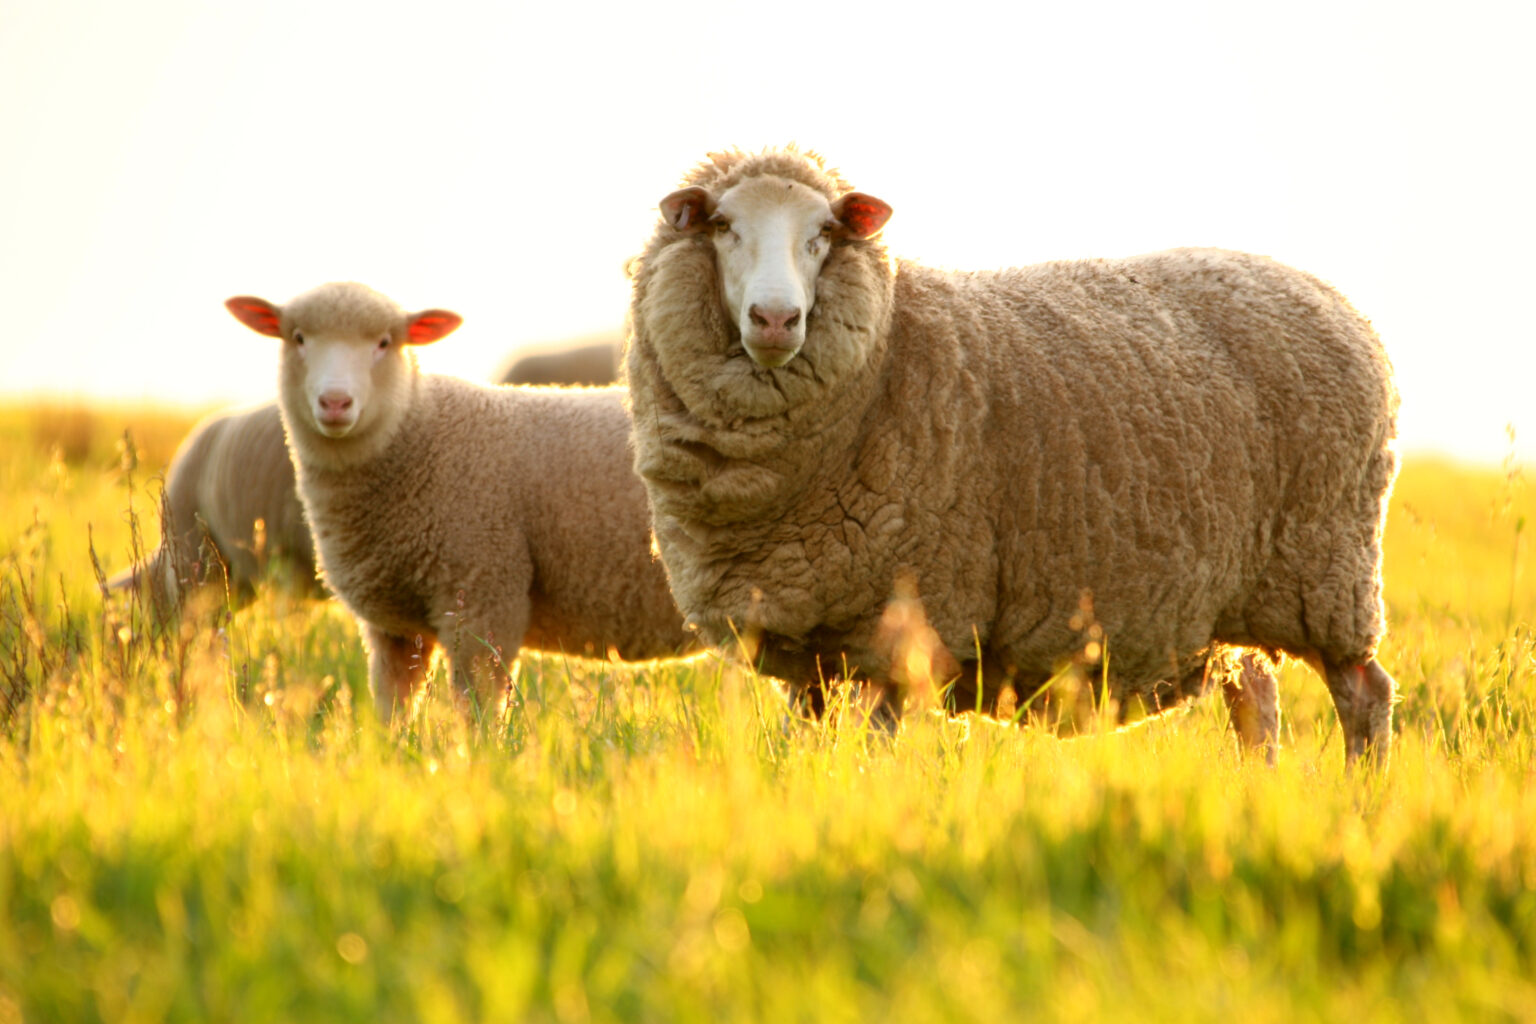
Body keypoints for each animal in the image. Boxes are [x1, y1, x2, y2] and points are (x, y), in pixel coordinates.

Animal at [224, 282, 691, 720]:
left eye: (384, 343)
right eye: (298, 338)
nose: (335, 402)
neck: (417, 433)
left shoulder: (485, 591)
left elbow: (479, 709)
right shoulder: (392, 627)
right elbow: (393, 709)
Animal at [624, 146, 1399, 768]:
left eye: (821, 236)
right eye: (723, 228)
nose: (777, 319)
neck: (889, 349)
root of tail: (1345, 307)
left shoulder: (906, 617)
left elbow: (874, 747)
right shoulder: (807, 637)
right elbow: (809, 745)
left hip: (1326, 567)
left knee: (1364, 694)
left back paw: (1363, 795)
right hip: (1239, 598)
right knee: (1256, 700)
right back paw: (1257, 786)